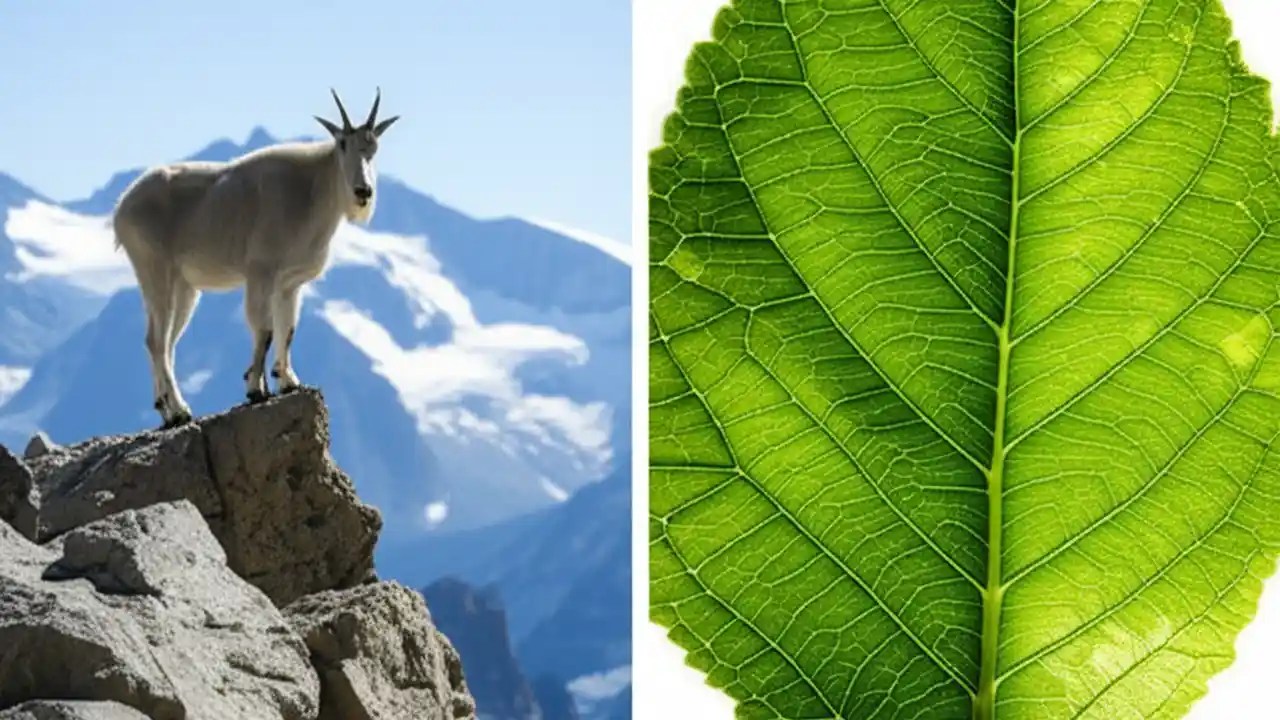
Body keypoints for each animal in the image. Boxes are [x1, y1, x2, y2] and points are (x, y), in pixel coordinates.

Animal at [113, 89, 399, 428]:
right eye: (343, 144)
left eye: (374, 148)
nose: (363, 192)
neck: (313, 190)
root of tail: (121, 208)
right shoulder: (261, 271)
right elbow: (264, 330)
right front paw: (255, 389)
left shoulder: (289, 283)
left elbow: (287, 329)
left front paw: (286, 381)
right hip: (155, 271)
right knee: (156, 341)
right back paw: (181, 411)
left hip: (183, 287)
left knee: (165, 343)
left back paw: (166, 411)